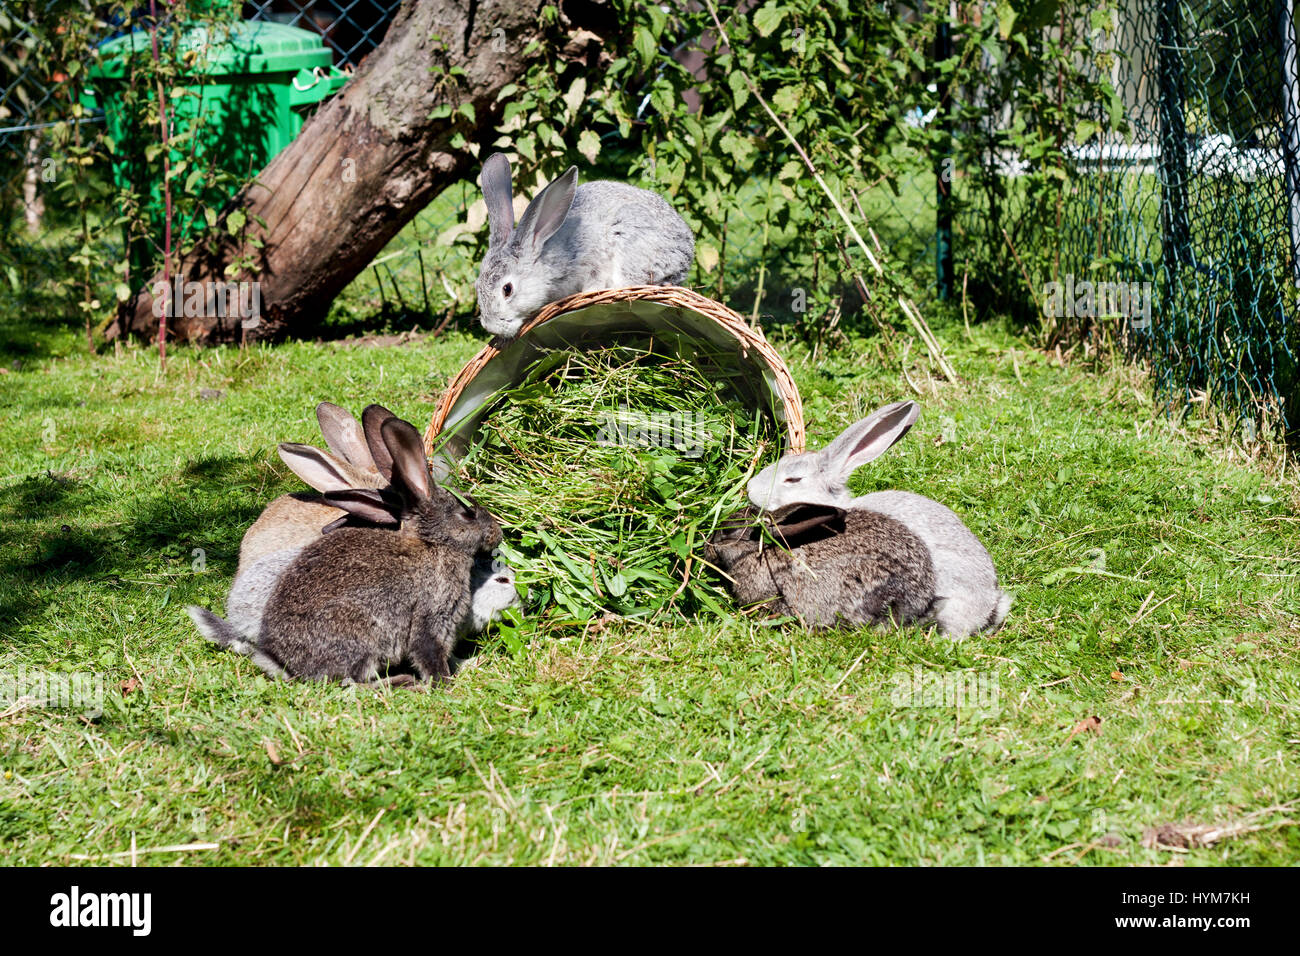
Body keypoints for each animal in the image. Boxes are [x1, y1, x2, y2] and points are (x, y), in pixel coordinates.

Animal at [188, 416, 503, 684]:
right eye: (467, 514)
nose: (498, 533)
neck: (434, 543)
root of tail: (283, 664)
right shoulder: (430, 616)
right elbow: (429, 653)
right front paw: (444, 683)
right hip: (363, 636)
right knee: (351, 683)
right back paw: (402, 682)